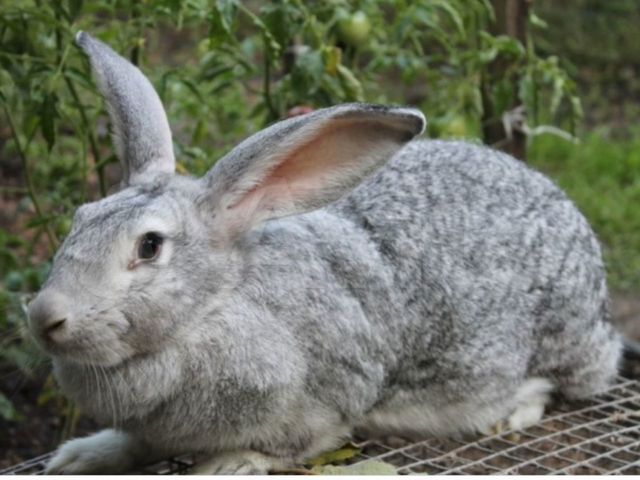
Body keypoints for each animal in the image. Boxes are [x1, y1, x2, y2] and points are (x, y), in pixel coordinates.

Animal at [26, 32, 622, 475]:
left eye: (149, 246)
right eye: (80, 218)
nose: (44, 317)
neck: (210, 310)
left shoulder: (327, 401)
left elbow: (289, 445)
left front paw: (227, 463)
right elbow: (137, 444)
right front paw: (82, 455)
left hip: (560, 336)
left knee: (563, 381)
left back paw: (511, 412)